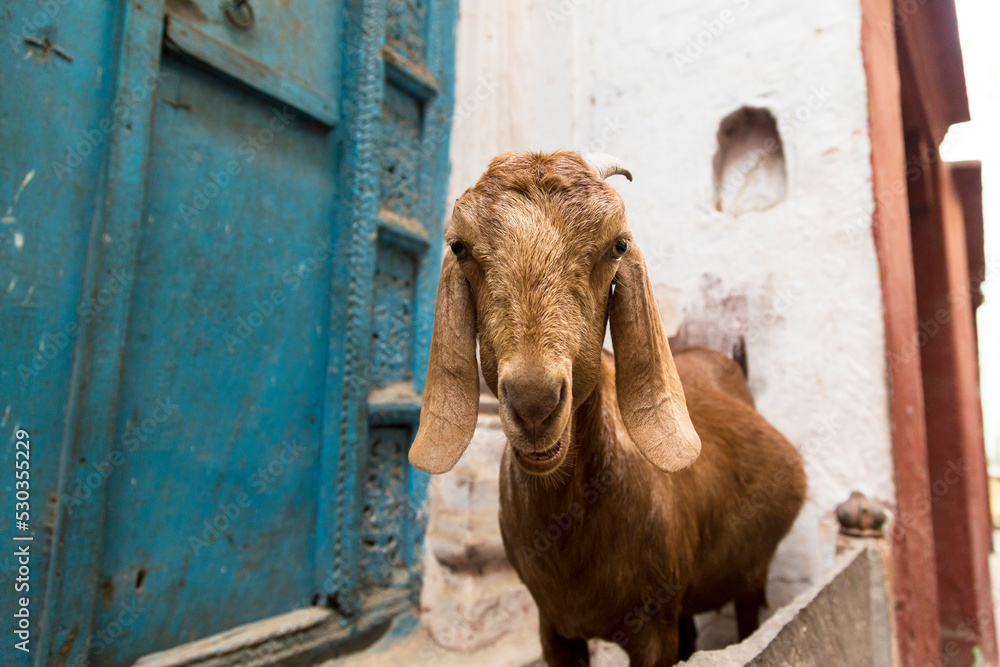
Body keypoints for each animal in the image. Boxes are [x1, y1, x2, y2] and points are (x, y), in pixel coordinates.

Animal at [409, 151, 807, 666]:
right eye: (459, 247)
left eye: (617, 246)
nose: (533, 404)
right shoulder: (553, 628)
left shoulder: (653, 628)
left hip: (749, 576)